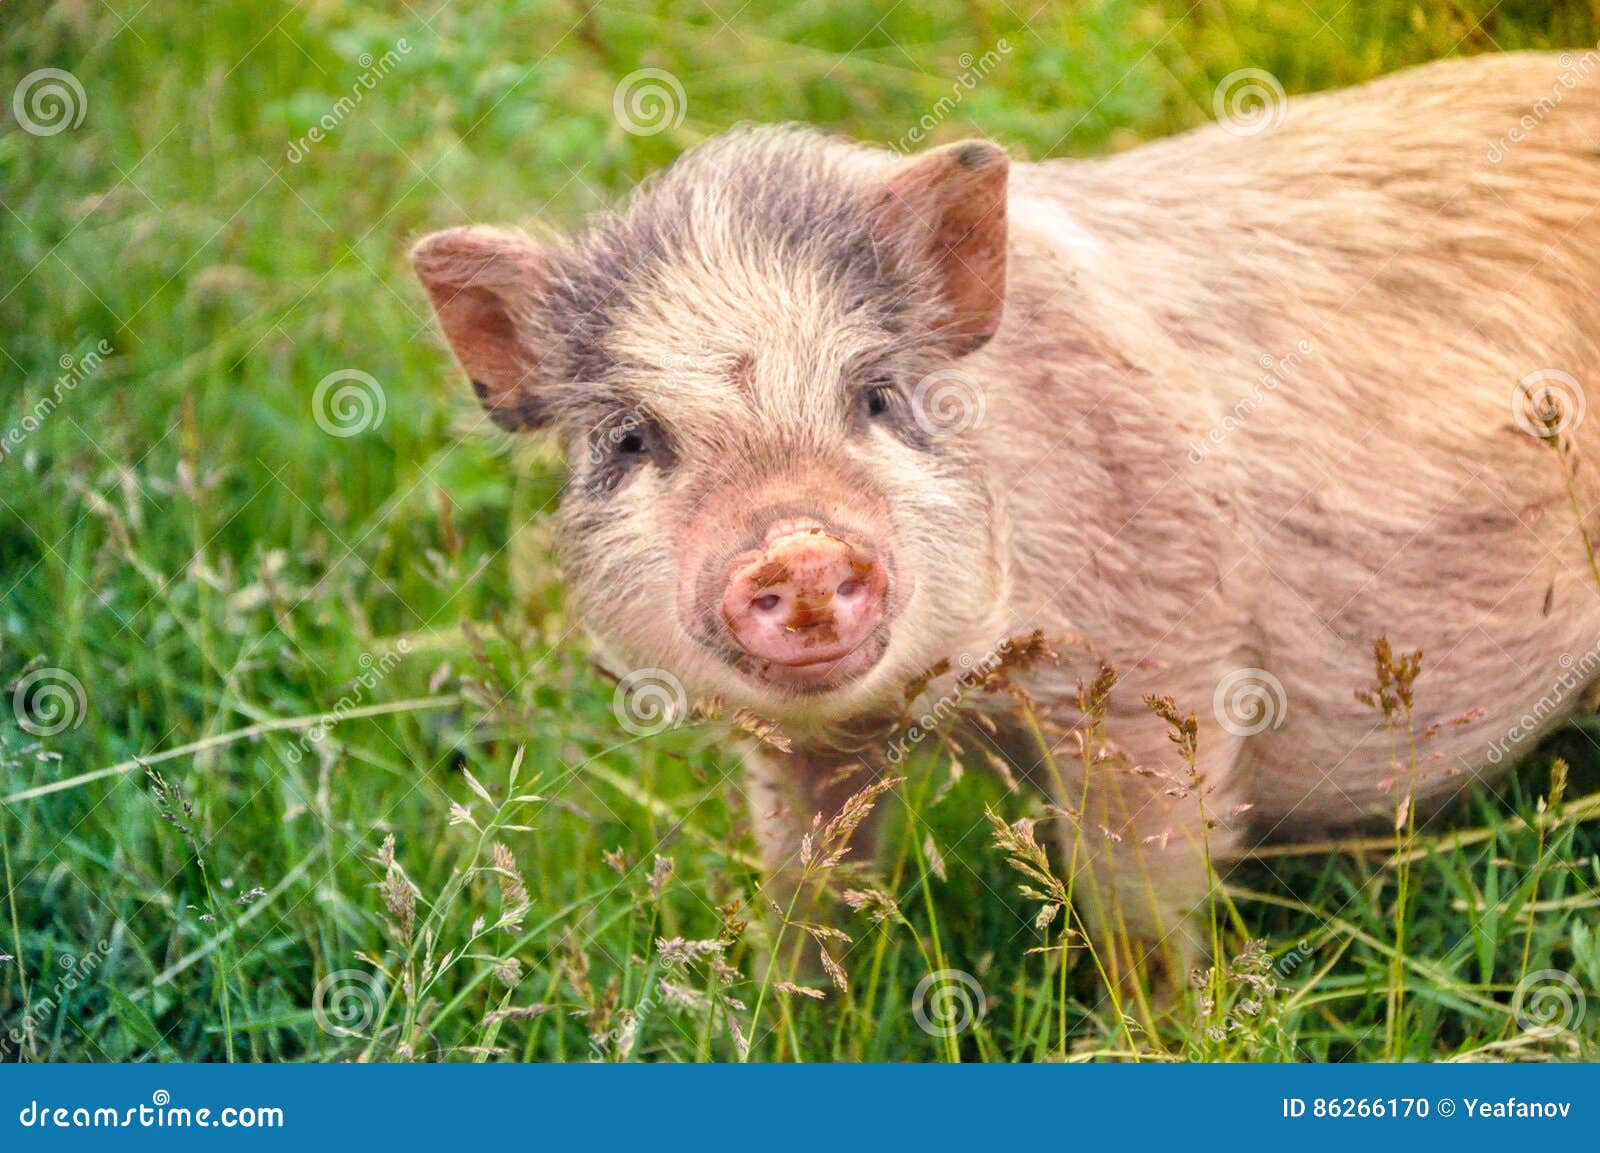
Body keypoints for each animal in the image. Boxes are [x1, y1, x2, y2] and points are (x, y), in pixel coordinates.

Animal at [412, 50, 1600, 998]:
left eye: (880, 394)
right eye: (630, 437)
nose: (799, 544)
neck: (941, 695)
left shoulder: (1161, 664)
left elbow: (1139, 901)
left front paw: (1162, 1026)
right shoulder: (799, 744)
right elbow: (808, 888)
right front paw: (792, 1014)